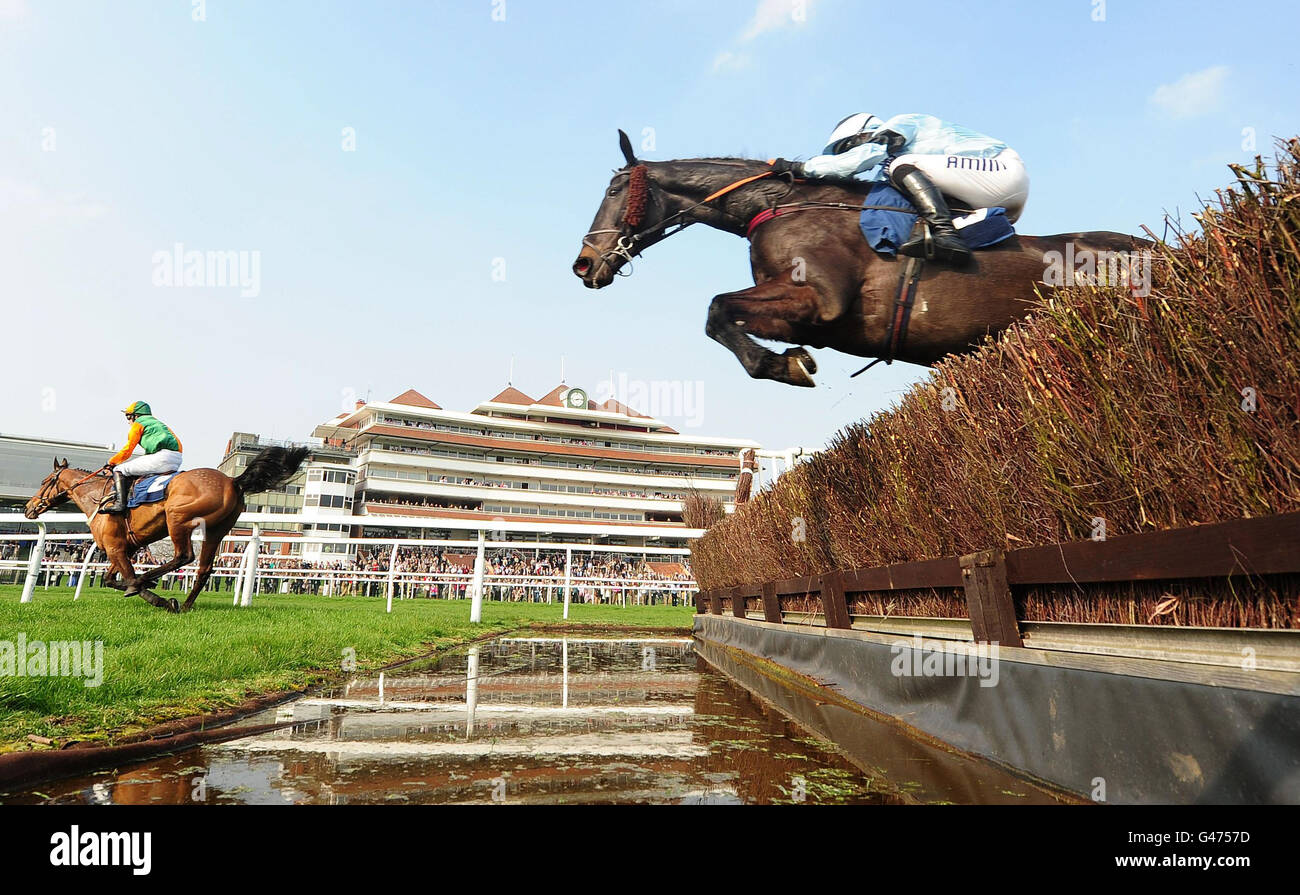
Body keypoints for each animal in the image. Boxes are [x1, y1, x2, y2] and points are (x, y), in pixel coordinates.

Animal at [23, 446, 308, 613]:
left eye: (44, 481)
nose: (28, 508)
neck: (98, 497)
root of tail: (233, 481)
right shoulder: (124, 547)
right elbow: (111, 579)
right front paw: (149, 590)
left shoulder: (115, 547)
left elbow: (126, 579)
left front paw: (154, 595)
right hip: (216, 530)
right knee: (204, 568)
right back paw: (186, 604)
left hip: (177, 518)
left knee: (184, 556)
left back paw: (153, 583)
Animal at [573, 131, 1149, 386]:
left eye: (613, 189)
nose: (582, 263)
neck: (781, 205)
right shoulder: (811, 314)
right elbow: (723, 315)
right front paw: (788, 360)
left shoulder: (818, 300)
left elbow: (717, 309)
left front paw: (783, 365)